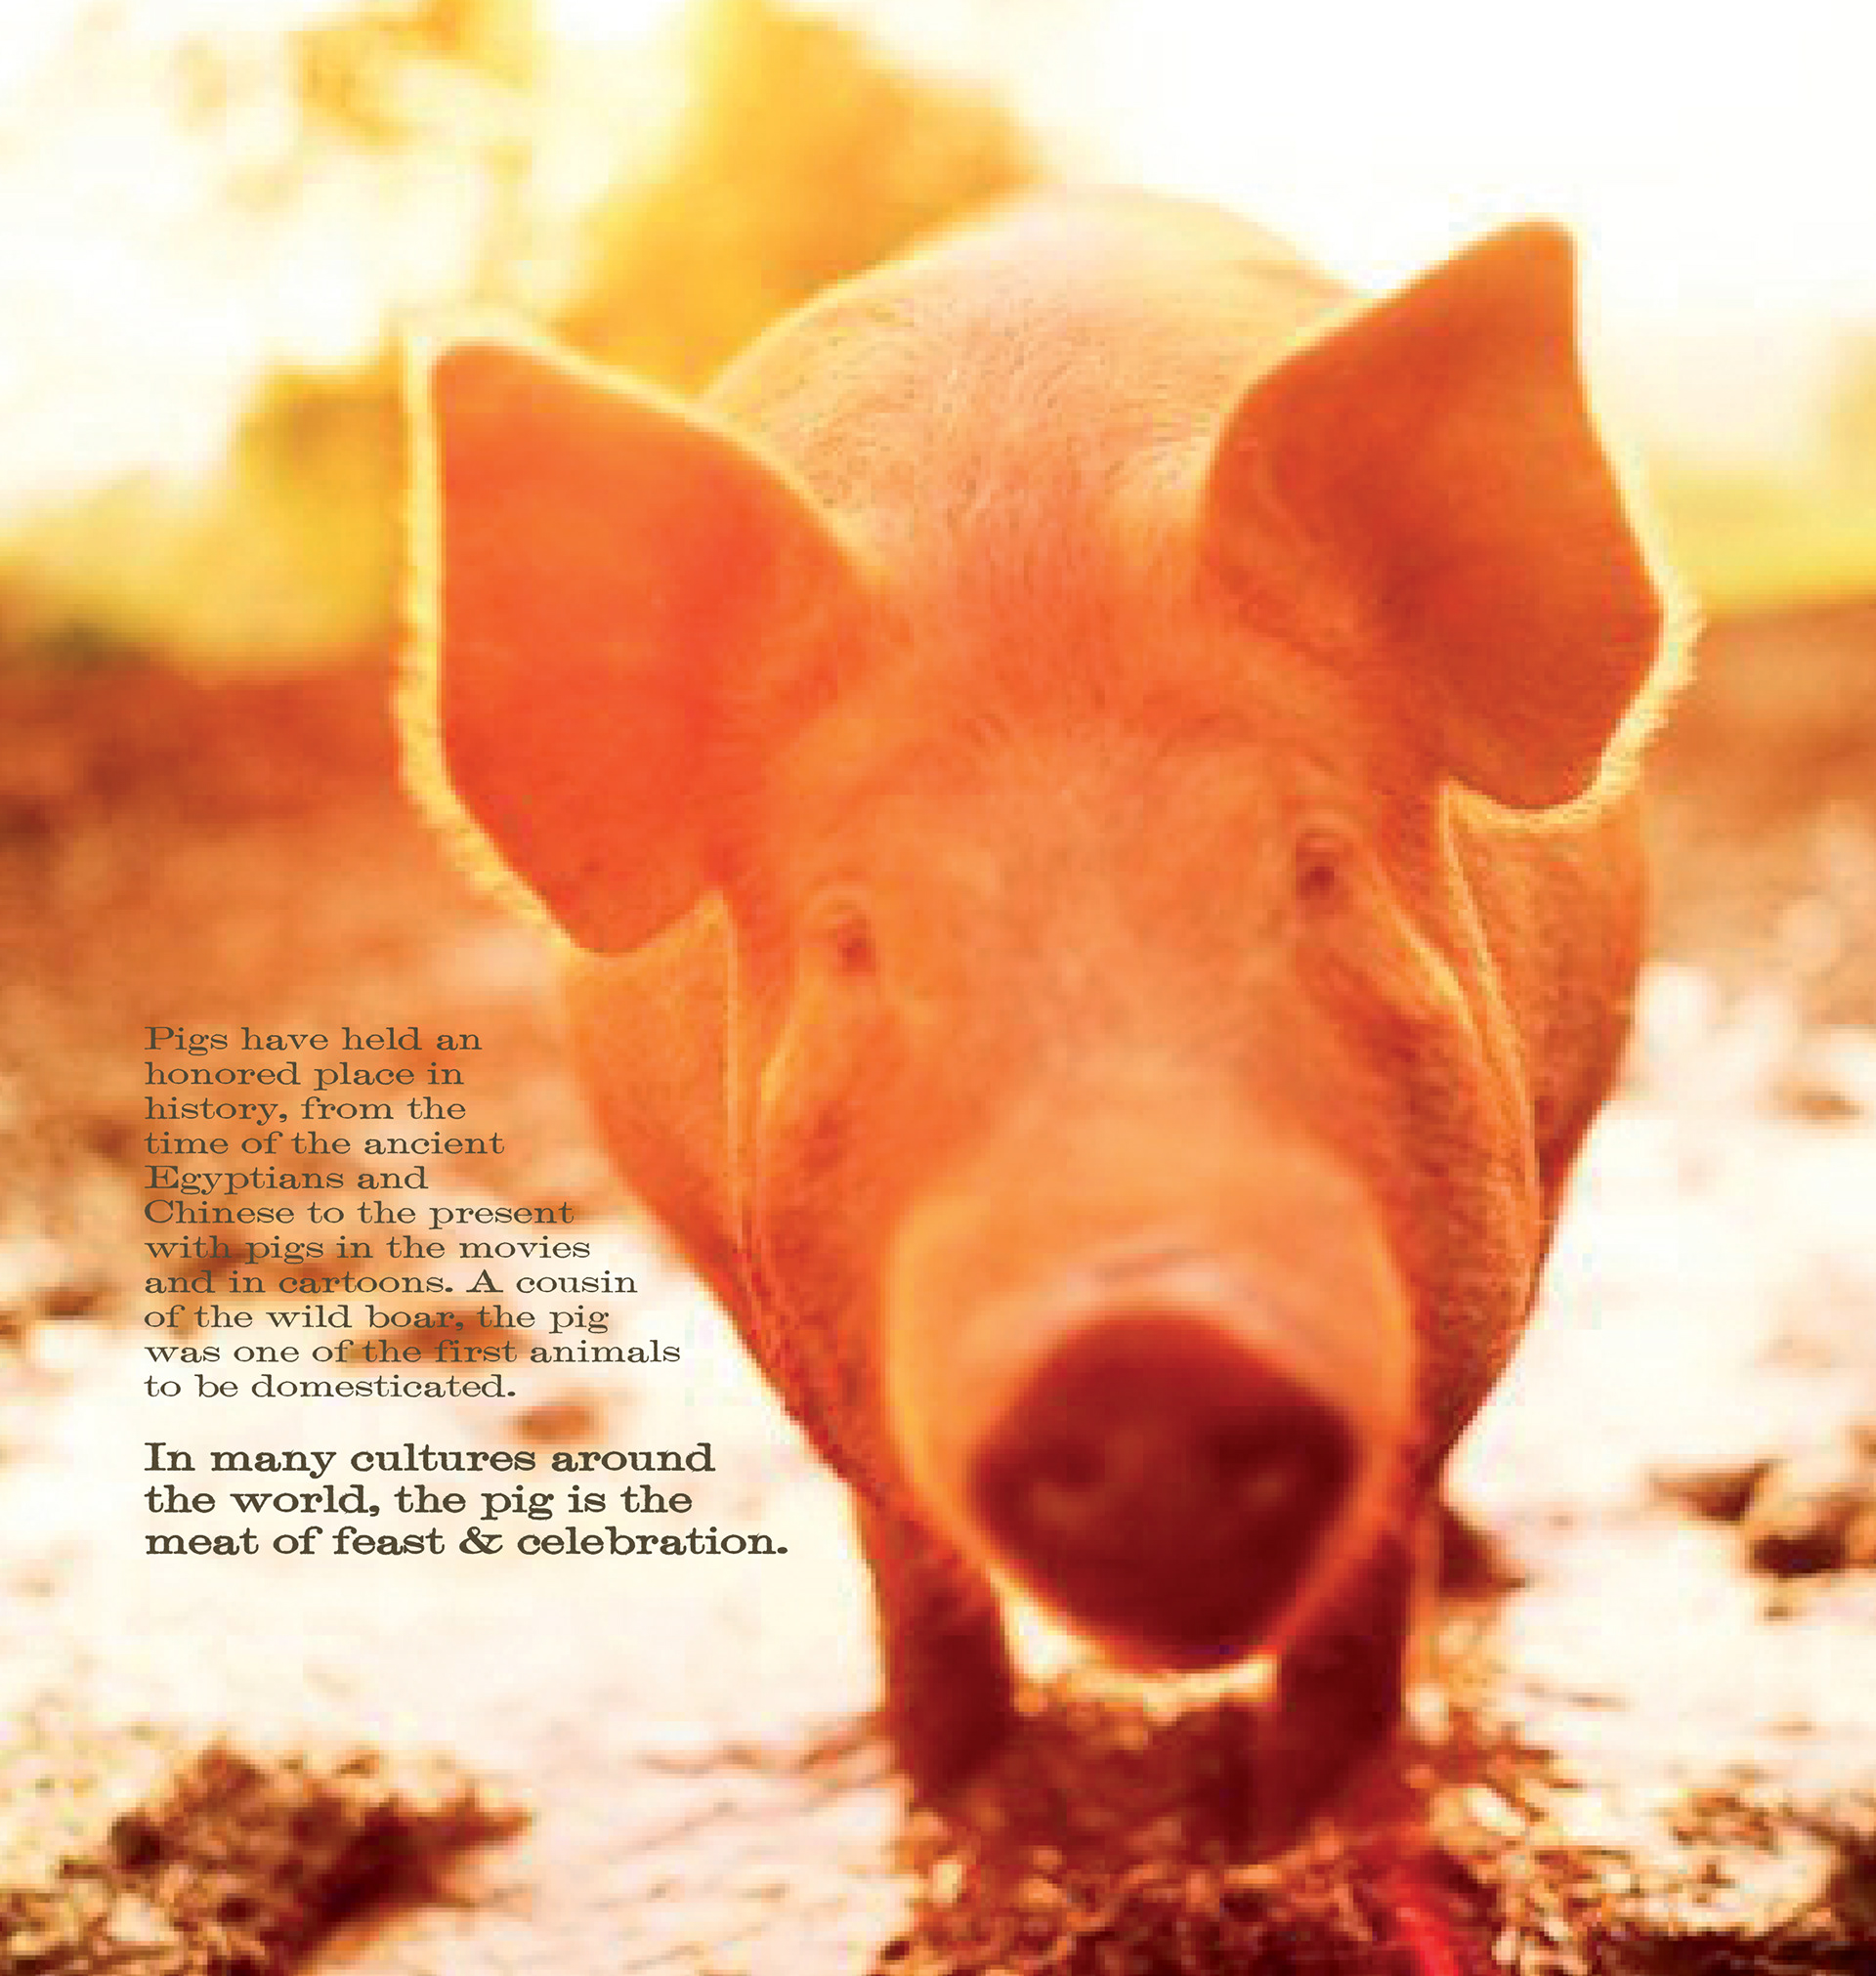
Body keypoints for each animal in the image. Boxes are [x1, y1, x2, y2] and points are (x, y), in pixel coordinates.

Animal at [402, 189, 1690, 1837]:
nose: (1144, 1344)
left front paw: (1292, 1824)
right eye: (852, 939)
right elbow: (917, 1585)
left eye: (1317, 865)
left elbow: (1355, 1625)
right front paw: (952, 1798)